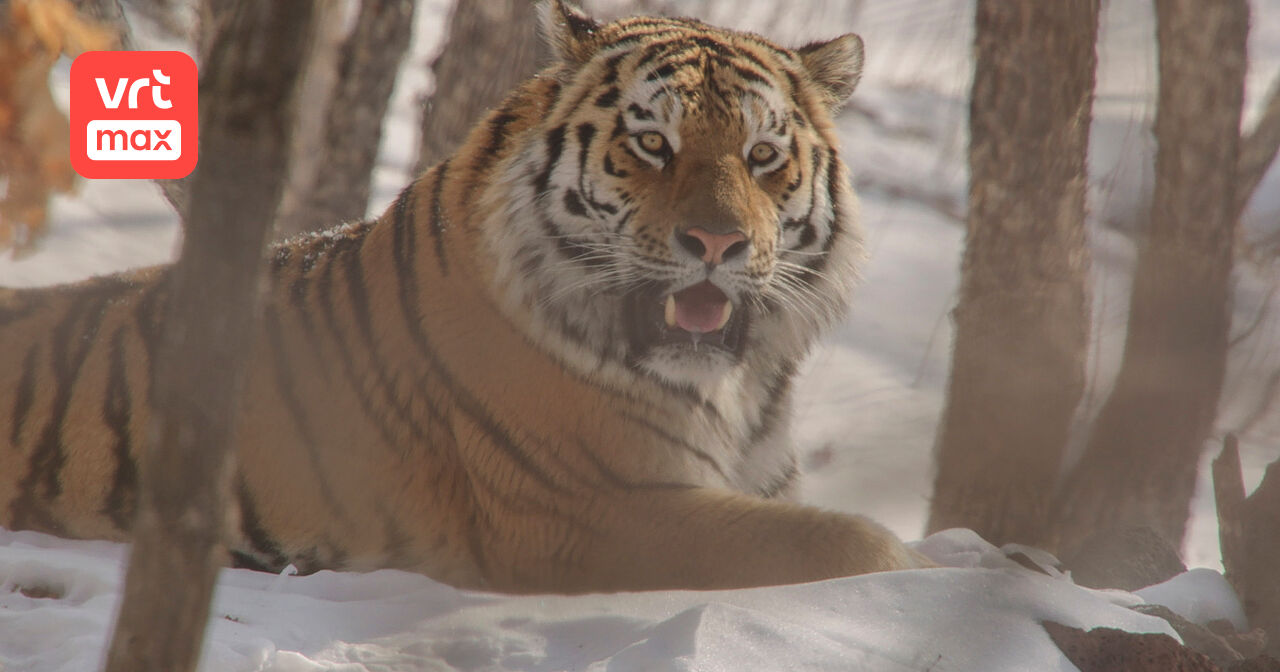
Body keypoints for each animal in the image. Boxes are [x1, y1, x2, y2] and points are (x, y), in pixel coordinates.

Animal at [0, 1, 928, 593]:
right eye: (653, 145)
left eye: (762, 154)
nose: (717, 244)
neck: (736, 384)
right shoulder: (597, 510)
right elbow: (856, 541)